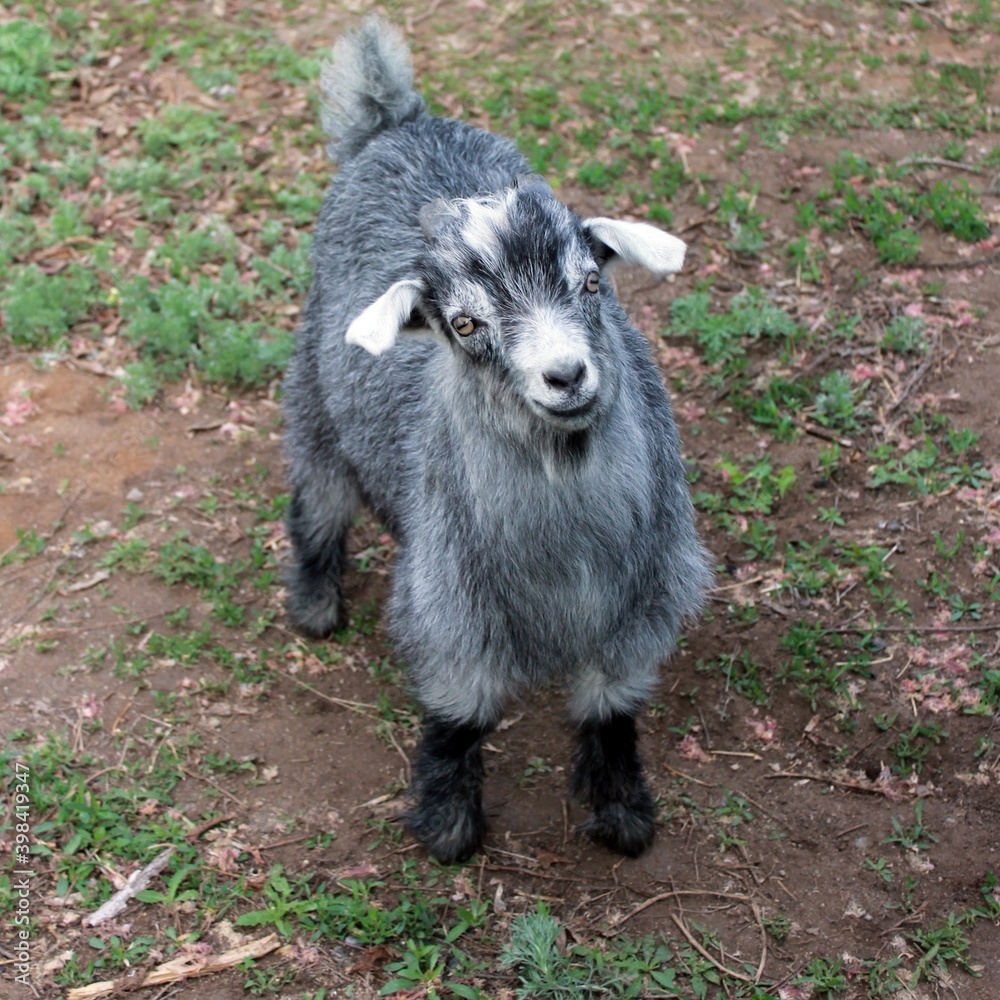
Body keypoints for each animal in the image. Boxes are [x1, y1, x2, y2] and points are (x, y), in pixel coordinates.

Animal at [282, 17, 712, 863]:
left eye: (591, 282)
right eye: (464, 324)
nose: (565, 375)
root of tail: (398, 121)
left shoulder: (641, 598)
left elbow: (611, 704)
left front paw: (622, 809)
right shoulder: (451, 601)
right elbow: (460, 710)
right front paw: (448, 822)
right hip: (315, 400)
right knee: (317, 498)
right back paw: (315, 601)